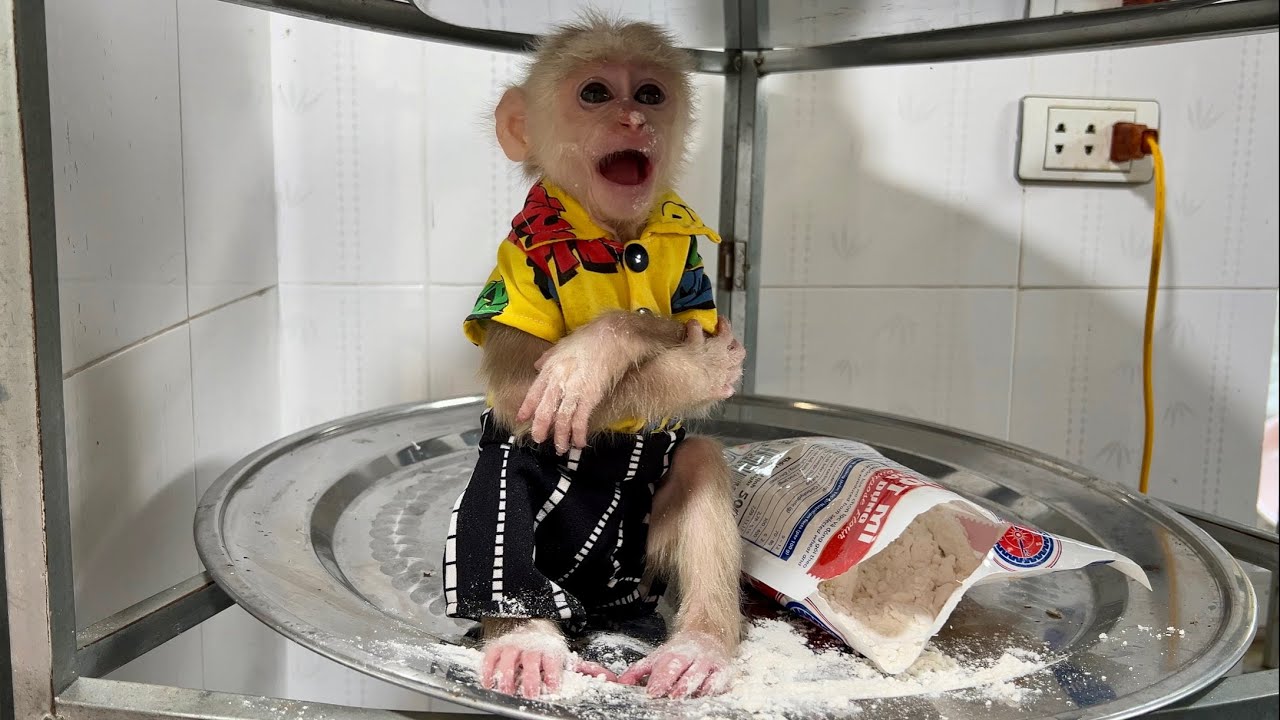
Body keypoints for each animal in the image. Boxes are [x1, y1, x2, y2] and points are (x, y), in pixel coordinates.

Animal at [442, 13, 746, 702]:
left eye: (651, 94)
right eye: (596, 94)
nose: (633, 119)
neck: (616, 236)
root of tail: (601, 602)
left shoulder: (689, 258)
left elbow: (695, 336)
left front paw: (604, 348)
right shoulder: (518, 265)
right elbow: (517, 387)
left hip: (640, 567)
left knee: (698, 459)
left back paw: (697, 646)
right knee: (513, 459)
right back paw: (524, 635)